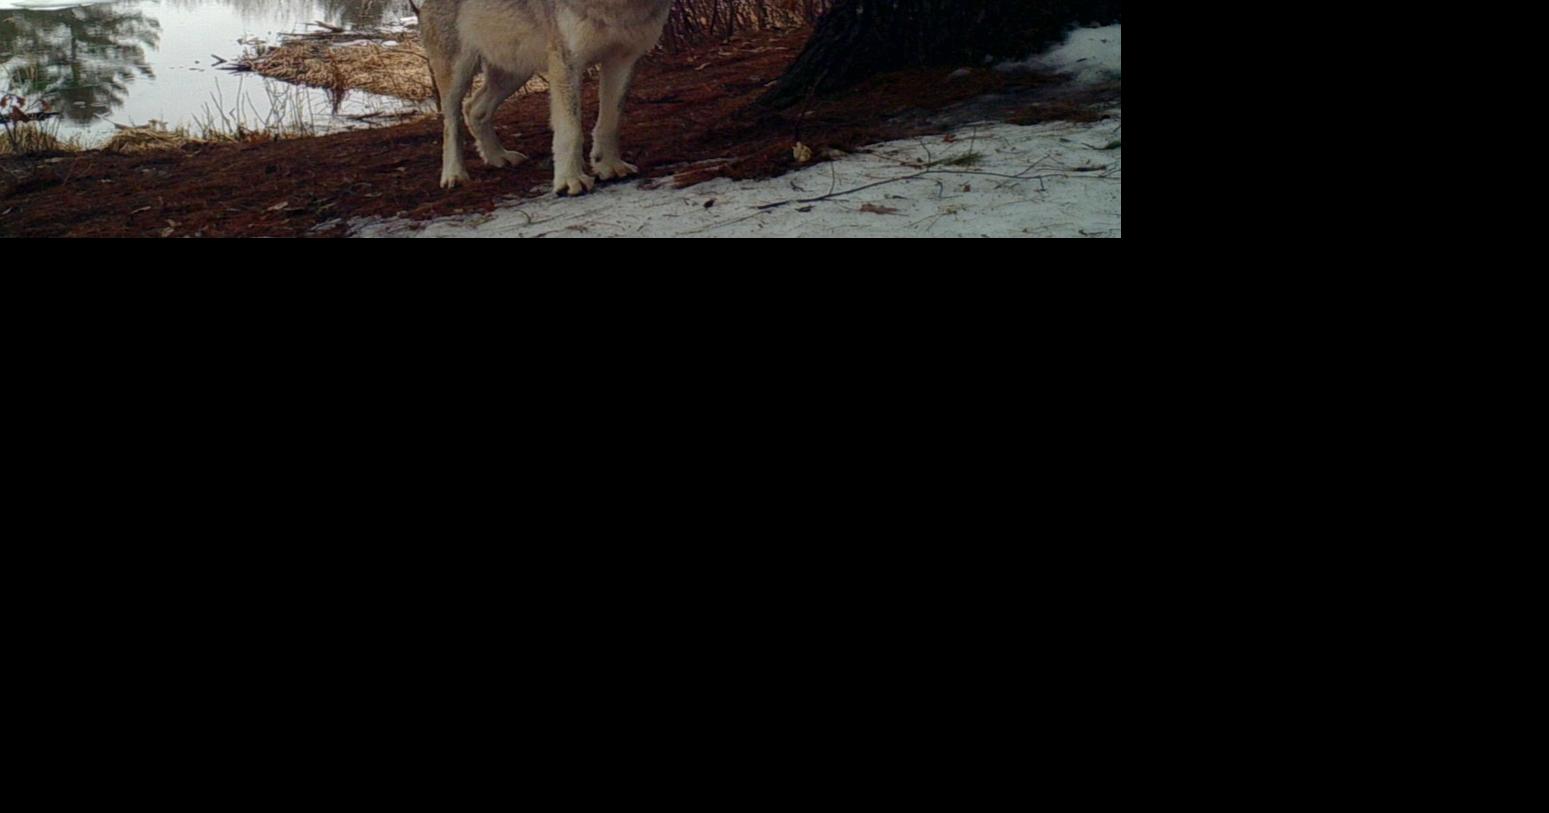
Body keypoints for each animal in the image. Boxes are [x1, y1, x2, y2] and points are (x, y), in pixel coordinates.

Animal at [417, 0, 674, 195]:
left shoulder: (623, 59)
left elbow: (610, 122)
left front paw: (609, 166)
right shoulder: (566, 62)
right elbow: (571, 130)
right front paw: (570, 180)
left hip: (515, 71)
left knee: (473, 108)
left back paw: (499, 157)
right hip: (458, 73)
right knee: (452, 122)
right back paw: (454, 175)